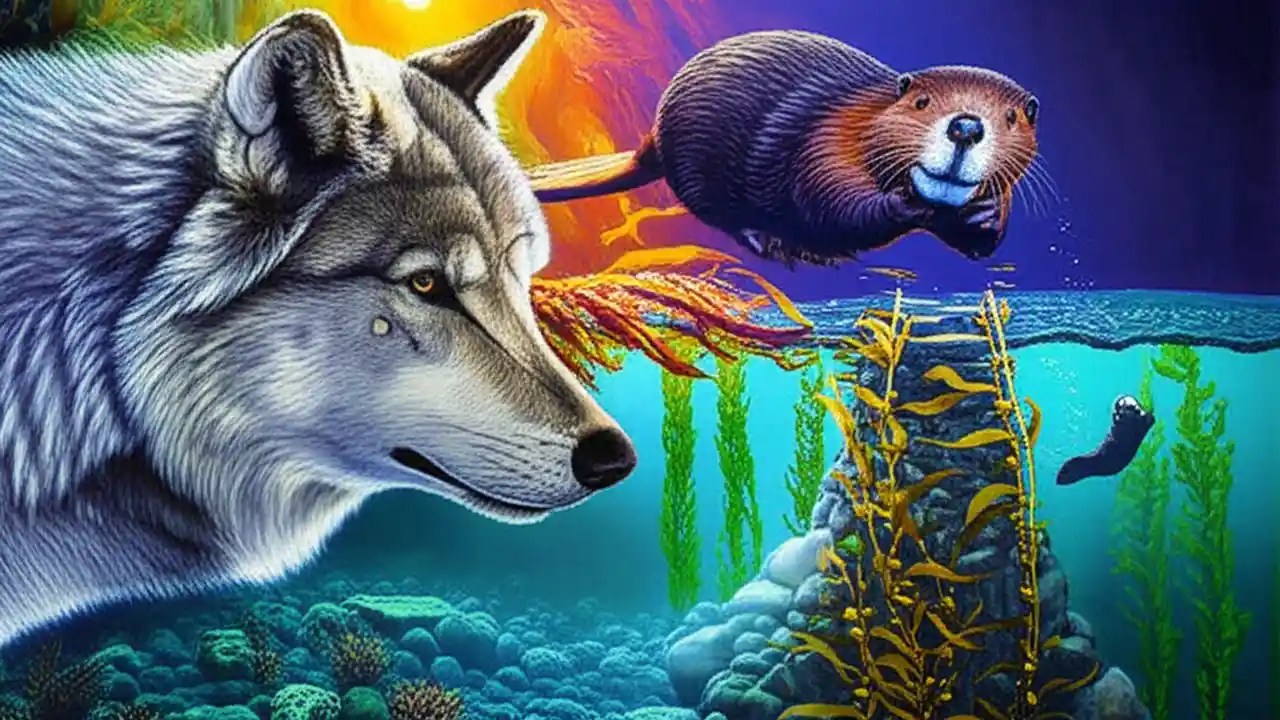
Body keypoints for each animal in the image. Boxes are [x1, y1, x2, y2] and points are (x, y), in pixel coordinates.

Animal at [526, 30, 1041, 266]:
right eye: (922, 102)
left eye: (1012, 117)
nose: (966, 127)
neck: (866, 115)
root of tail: (649, 143)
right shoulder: (824, 143)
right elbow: (831, 198)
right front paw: (904, 201)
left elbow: (981, 242)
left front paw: (984, 215)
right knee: (722, 215)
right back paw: (777, 244)